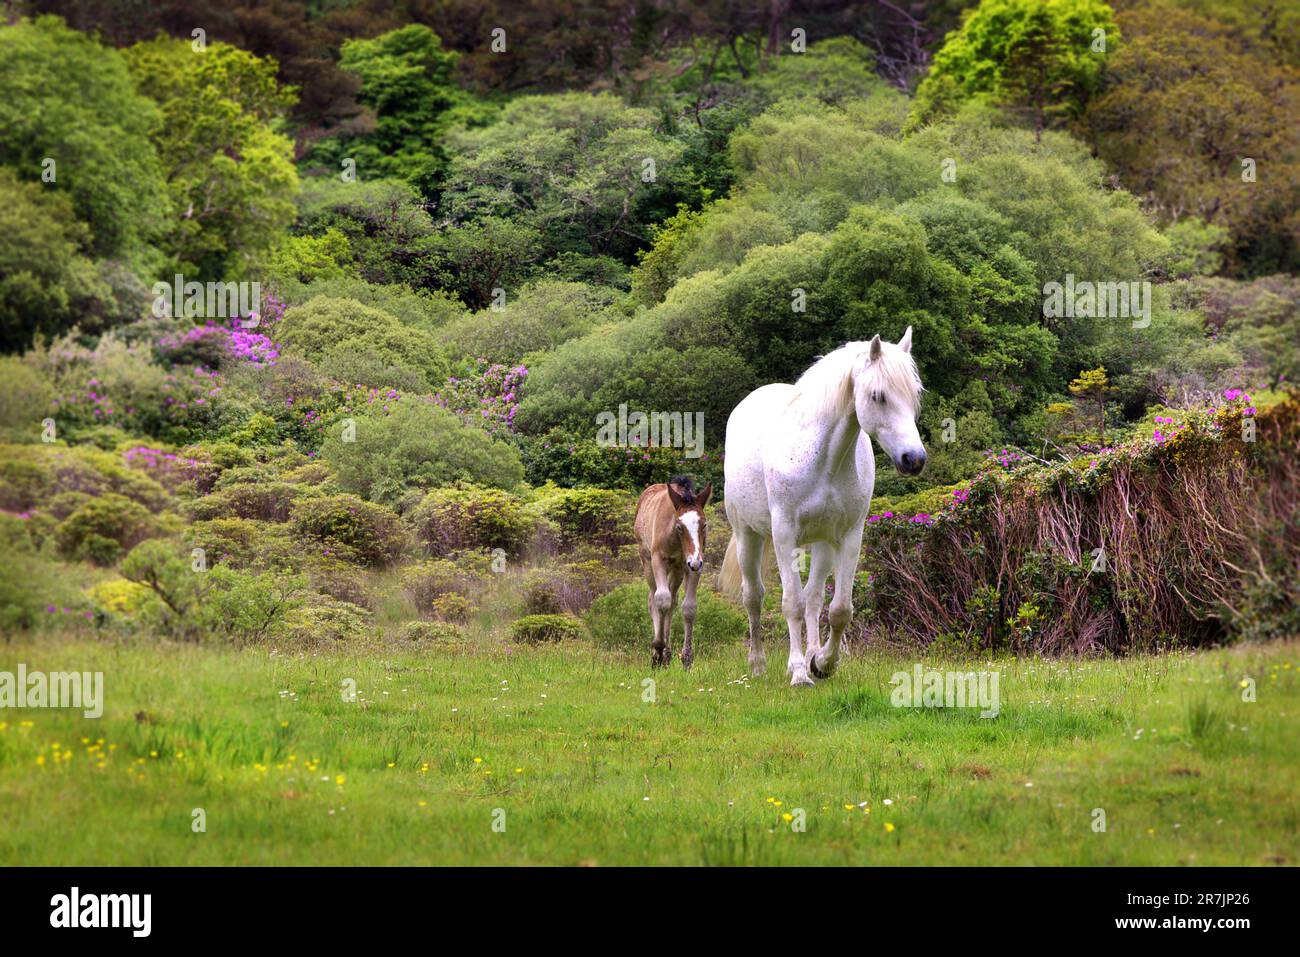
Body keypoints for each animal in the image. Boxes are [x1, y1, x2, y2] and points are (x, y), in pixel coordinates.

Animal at [634, 475, 713, 670]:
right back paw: (659, 654)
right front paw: (657, 650)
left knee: (673, 601)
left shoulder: (693, 565)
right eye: (679, 526)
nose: (694, 561)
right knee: (654, 599)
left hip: (677, 571)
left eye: (704, 524)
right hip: (647, 562)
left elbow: (688, 607)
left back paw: (668, 655)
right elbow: (661, 600)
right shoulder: (658, 560)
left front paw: (687, 658)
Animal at [718, 329, 926, 687]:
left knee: (814, 598)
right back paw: (759, 665)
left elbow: (839, 608)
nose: (914, 459)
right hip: (748, 536)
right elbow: (791, 603)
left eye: (913, 394)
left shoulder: (849, 536)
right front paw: (800, 673)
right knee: (754, 597)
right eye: (878, 395)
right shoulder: (784, 534)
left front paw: (823, 663)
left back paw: (811, 654)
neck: (824, 459)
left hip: (822, 544)